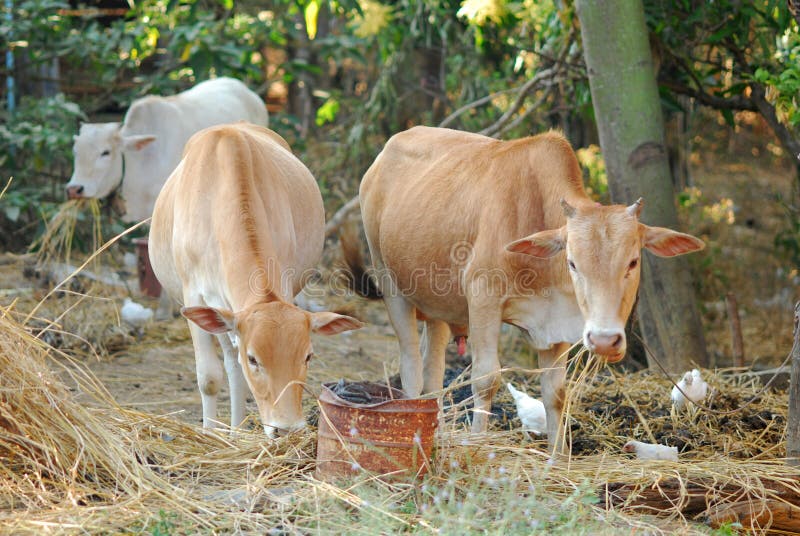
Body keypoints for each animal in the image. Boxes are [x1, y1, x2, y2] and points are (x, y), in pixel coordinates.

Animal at [148, 122, 362, 436]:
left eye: (308, 356)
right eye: (254, 358)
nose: (286, 428)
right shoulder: (194, 296)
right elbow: (209, 378)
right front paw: (210, 433)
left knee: (232, 364)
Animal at [345, 126, 704, 454]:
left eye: (632, 262)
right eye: (573, 262)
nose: (604, 340)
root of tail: (383, 154)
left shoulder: (556, 323)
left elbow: (555, 393)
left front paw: (557, 458)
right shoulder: (484, 298)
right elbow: (486, 379)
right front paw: (476, 446)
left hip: (437, 308)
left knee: (433, 370)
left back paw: (438, 433)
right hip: (391, 285)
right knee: (411, 368)